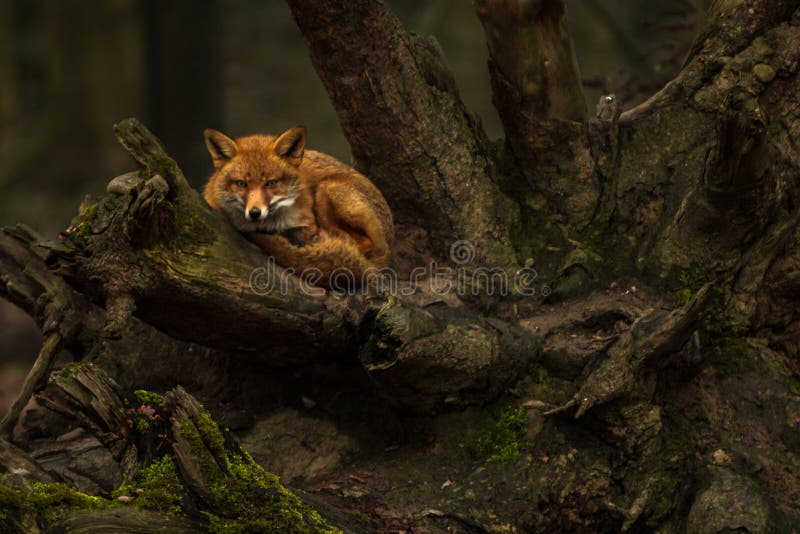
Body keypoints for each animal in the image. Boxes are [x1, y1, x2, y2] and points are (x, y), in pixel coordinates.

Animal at [202, 126, 394, 288]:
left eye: (271, 183)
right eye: (241, 184)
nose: (255, 213)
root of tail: (389, 242)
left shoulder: (309, 221)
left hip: (327, 189)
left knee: (357, 244)